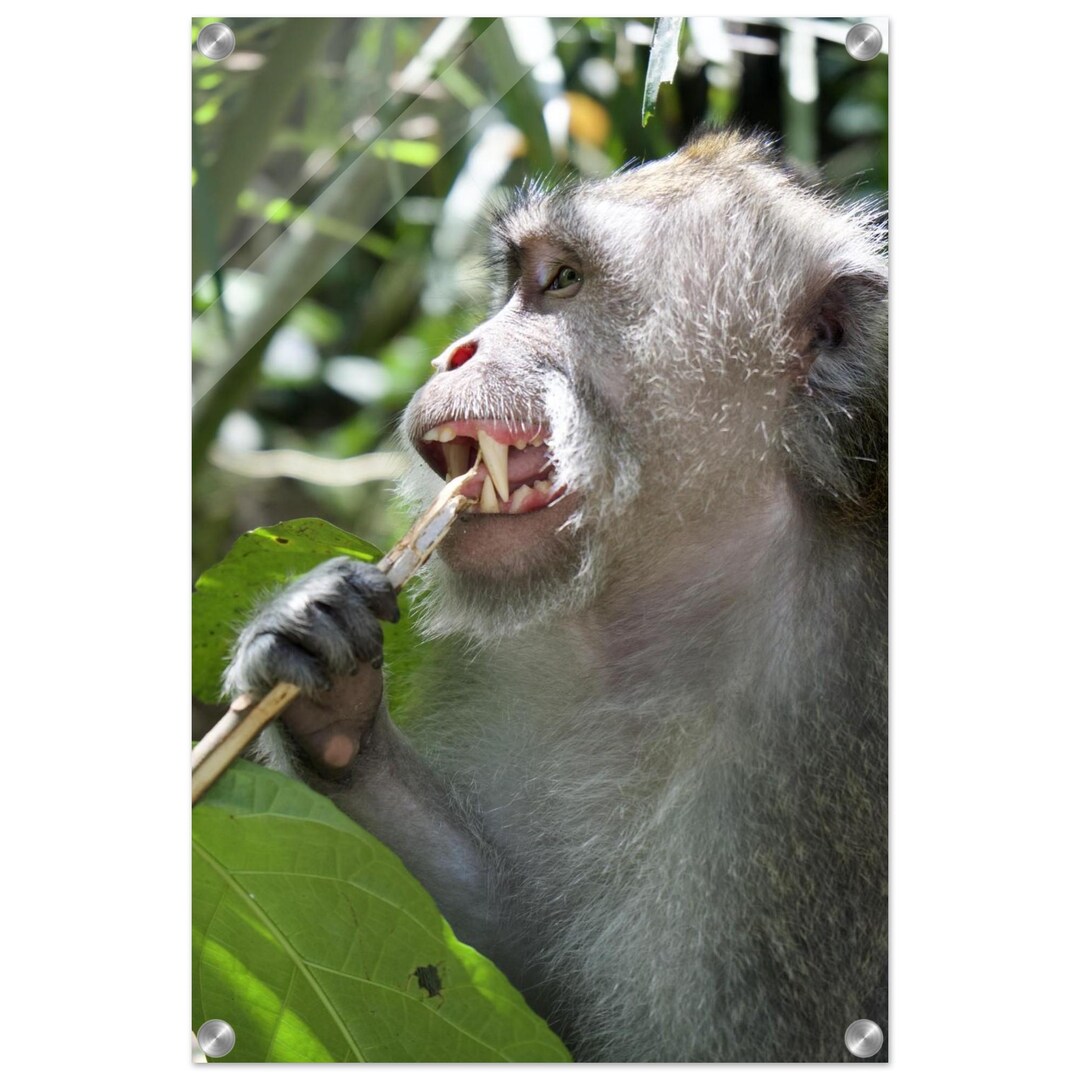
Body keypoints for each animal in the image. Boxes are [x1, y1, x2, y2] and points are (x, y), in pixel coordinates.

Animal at [224, 130, 888, 1063]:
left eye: (563, 281)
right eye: (514, 280)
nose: (454, 352)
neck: (664, 618)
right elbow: (505, 983)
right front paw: (326, 693)